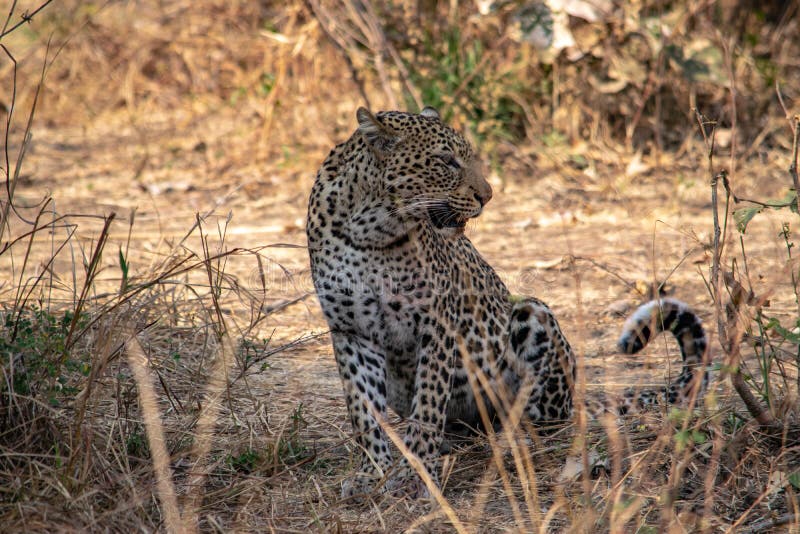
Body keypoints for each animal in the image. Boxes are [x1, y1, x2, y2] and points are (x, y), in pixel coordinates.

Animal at [306, 106, 710, 499]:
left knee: (546, 420)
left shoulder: (436, 324)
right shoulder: (350, 331)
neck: (370, 229)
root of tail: (575, 398)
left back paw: (512, 440)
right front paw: (372, 474)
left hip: (532, 314)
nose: (487, 196)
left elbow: (428, 406)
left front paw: (415, 474)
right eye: (446, 161)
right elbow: (364, 410)